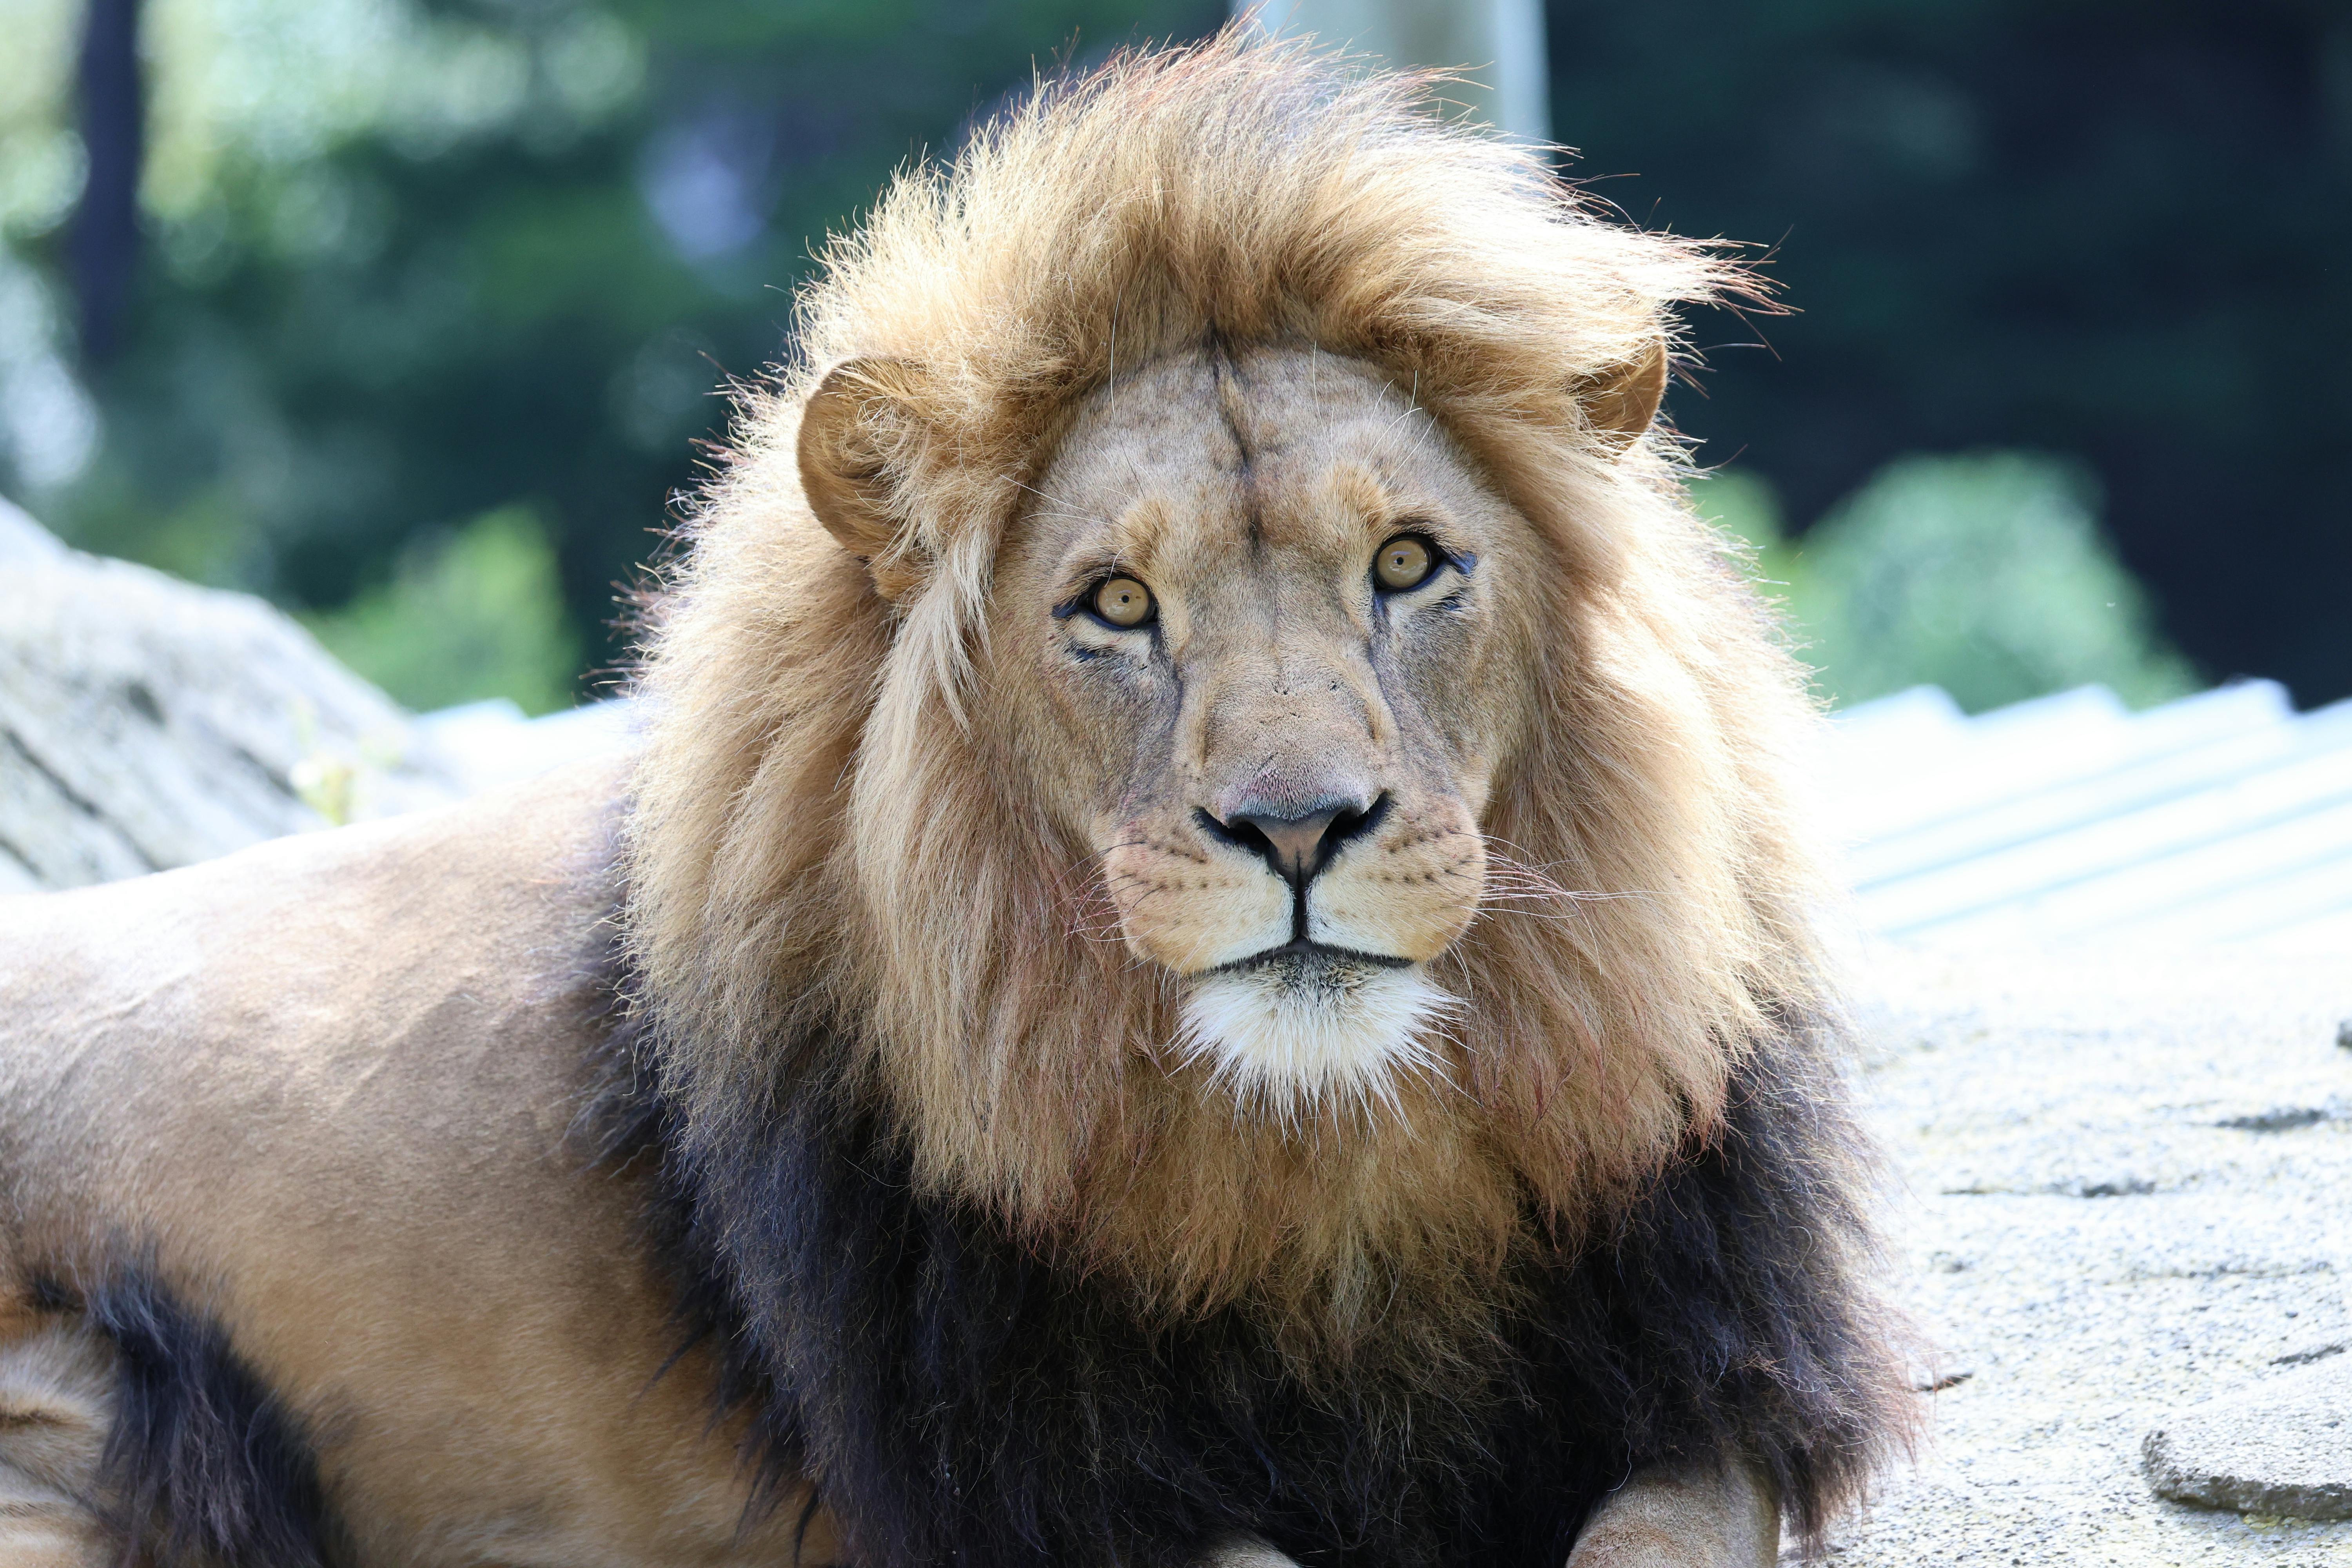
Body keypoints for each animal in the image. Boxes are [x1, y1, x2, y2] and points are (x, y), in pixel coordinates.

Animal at [0, 35, 1907, 1568]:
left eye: (1407, 564)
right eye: (1115, 606)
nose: (1297, 829)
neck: (1322, 1164)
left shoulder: (1710, 1387)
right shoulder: (1036, 1486)